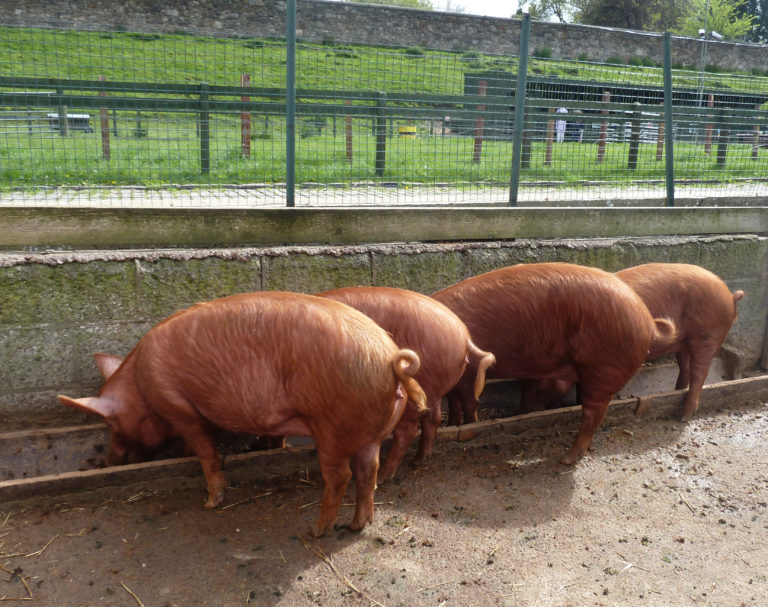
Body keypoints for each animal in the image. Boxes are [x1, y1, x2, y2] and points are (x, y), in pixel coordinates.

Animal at [58, 292, 427, 536]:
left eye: (112, 424)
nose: (110, 460)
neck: (141, 385)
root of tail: (390, 359)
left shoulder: (180, 408)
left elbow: (207, 452)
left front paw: (210, 503)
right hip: (371, 434)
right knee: (368, 471)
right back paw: (356, 525)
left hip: (332, 428)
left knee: (340, 476)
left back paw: (316, 530)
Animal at [316, 286, 495, 480]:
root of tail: (464, 336)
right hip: (432, 388)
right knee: (432, 420)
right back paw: (418, 460)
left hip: (414, 387)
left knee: (408, 430)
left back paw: (385, 476)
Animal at [431, 262, 676, 465]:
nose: (520, 412)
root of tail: (647, 322)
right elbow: (454, 401)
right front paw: (451, 425)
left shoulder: (470, 372)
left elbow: (468, 402)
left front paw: (467, 431)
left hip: (604, 369)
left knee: (593, 414)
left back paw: (567, 459)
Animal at [521, 263, 745, 422]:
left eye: (540, 382)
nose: (527, 410)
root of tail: (729, 294)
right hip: (685, 342)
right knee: (685, 369)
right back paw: (675, 392)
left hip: (708, 336)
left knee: (700, 373)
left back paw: (684, 416)